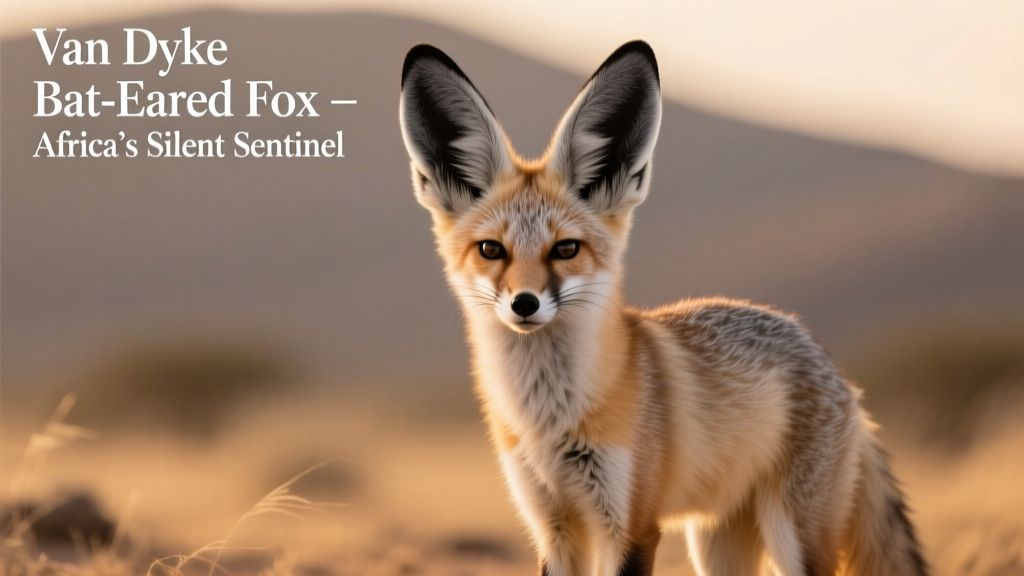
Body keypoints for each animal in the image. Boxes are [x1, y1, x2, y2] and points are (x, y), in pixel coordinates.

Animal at [399, 40, 928, 576]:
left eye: (565, 249)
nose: (524, 303)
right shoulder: (552, 525)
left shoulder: (632, 526)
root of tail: (839, 375)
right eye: (492, 250)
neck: (549, 419)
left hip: (792, 537)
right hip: (715, 544)